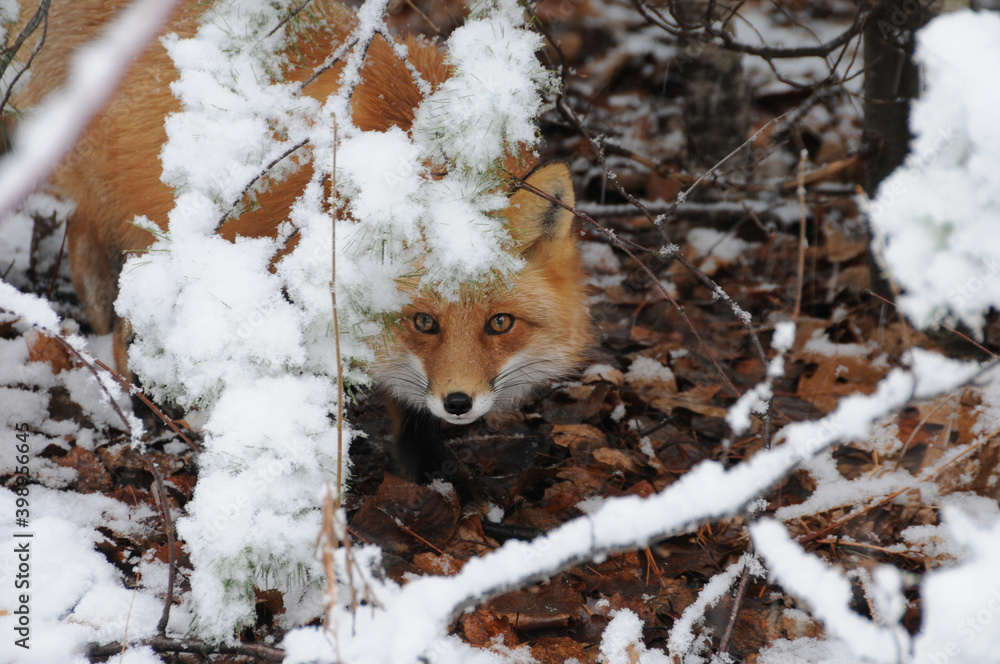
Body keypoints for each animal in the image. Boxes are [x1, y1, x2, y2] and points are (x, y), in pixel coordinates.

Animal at [8, 0, 591, 482]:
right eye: (425, 322)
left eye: (500, 323)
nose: (458, 403)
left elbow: (406, 404)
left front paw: (424, 468)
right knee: (107, 291)